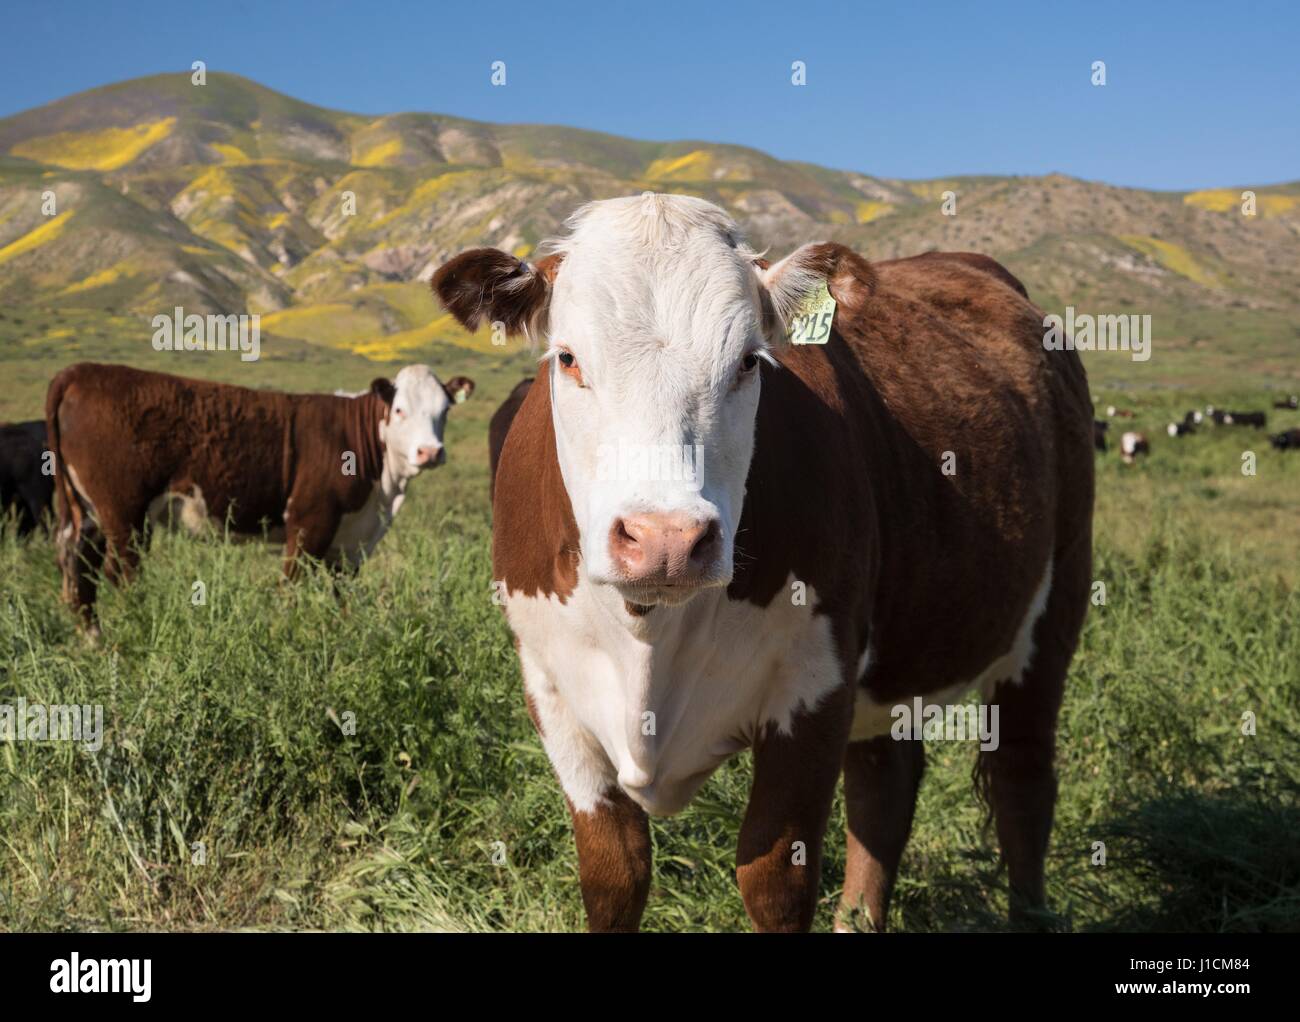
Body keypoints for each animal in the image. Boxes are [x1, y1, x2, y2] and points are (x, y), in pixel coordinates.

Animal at [45, 362, 474, 623]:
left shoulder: (350, 542)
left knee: (78, 574)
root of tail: (79, 372)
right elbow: (290, 588)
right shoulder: (309, 522)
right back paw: (134, 632)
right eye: (400, 410)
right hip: (124, 512)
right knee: (120, 573)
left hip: (89, 513)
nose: (430, 452)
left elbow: (343, 597)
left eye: (445, 410)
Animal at [434, 193, 1094, 933]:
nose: (665, 539)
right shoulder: (552, 690)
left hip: (1055, 607)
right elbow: (614, 876)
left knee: (1021, 781)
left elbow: (774, 879)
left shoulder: (813, 688)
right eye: (569, 358)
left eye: (749, 361)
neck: (647, 639)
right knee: (884, 785)